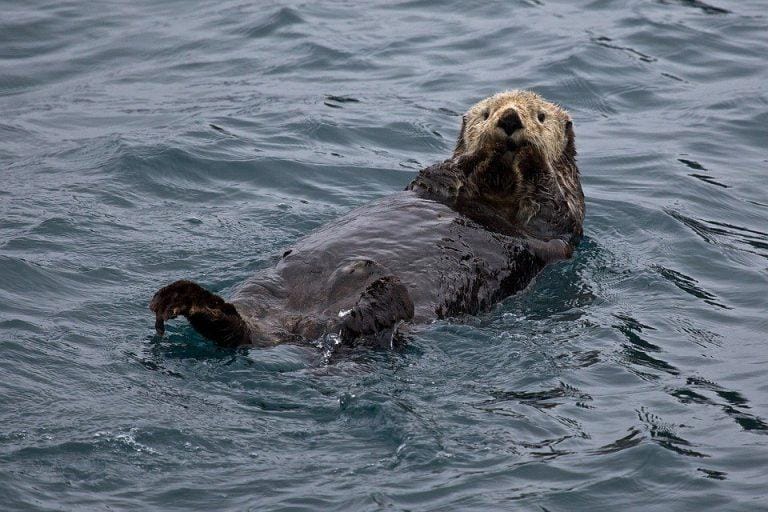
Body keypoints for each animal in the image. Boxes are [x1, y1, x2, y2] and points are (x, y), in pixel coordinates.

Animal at [149, 90, 584, 348]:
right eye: (485, 112)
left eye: (540, 116)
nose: (509, 119)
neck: (494, 189)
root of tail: (303, 329)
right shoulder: (432, 185)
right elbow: (439, 174)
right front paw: (480, 152)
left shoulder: (560, 224)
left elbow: (551, 206)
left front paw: (528, 154)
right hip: (265, 290)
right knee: (238, 328)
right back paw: (187, 300)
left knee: (362, 329)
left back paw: (377, 296)